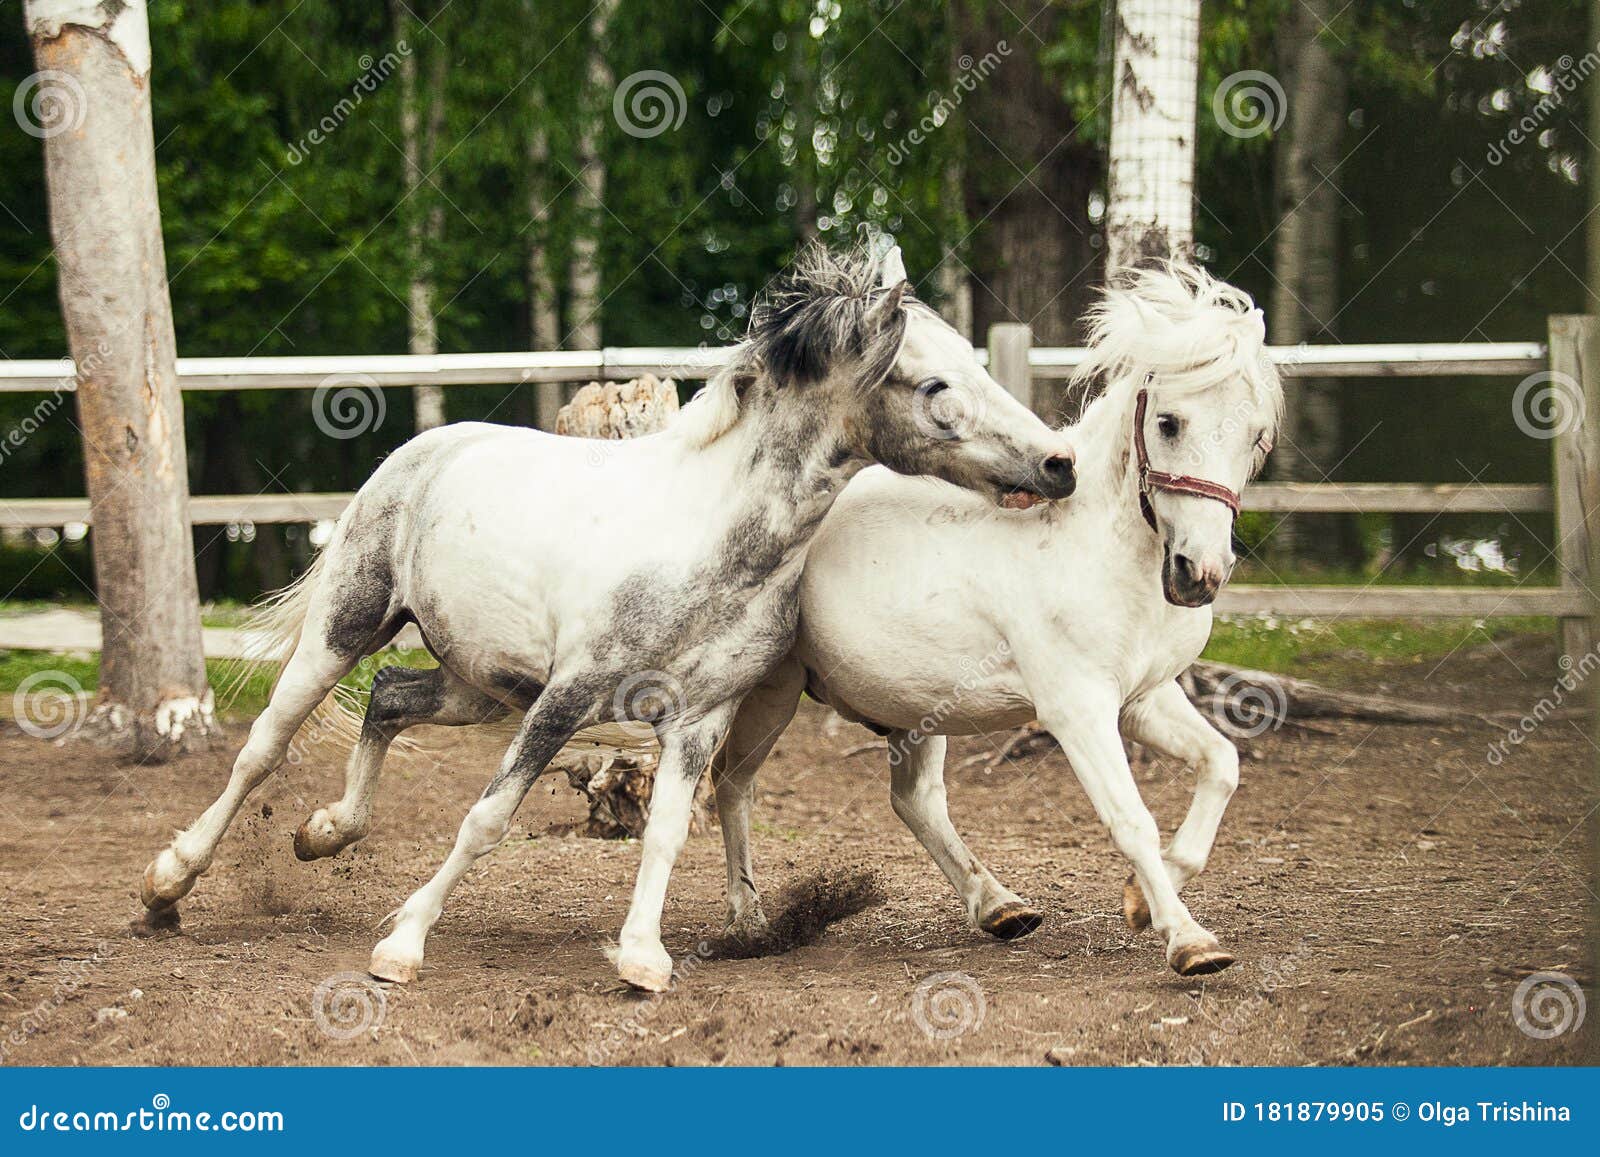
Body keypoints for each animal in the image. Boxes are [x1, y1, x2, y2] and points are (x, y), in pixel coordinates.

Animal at [135, 243, 1080, 992]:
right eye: (935, 385)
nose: (1059, 462)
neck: (708, 544)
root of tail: (423, 448)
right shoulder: (571, 694)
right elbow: (486, 818)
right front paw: (400, 947)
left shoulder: (699, 718)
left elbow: (663, 831)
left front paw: (643, 959)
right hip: (350, 624)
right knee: (265, 744)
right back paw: (167, 884)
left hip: (480, 683)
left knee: (391, 698)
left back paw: (323, 832)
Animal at [708, 260, 1282, 976]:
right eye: (1170, 422)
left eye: (1257, 434)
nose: (1198, 574)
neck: (1099, 546)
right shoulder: (1078, 709)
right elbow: (1132, 819)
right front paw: (1188, 939)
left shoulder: (1143, 698)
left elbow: (1221, 765)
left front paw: (1143, 901)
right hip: (773, 691)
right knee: (731, 784)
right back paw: (749, 921)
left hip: (914, 701)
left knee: (915, 800)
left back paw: (1000, 907)